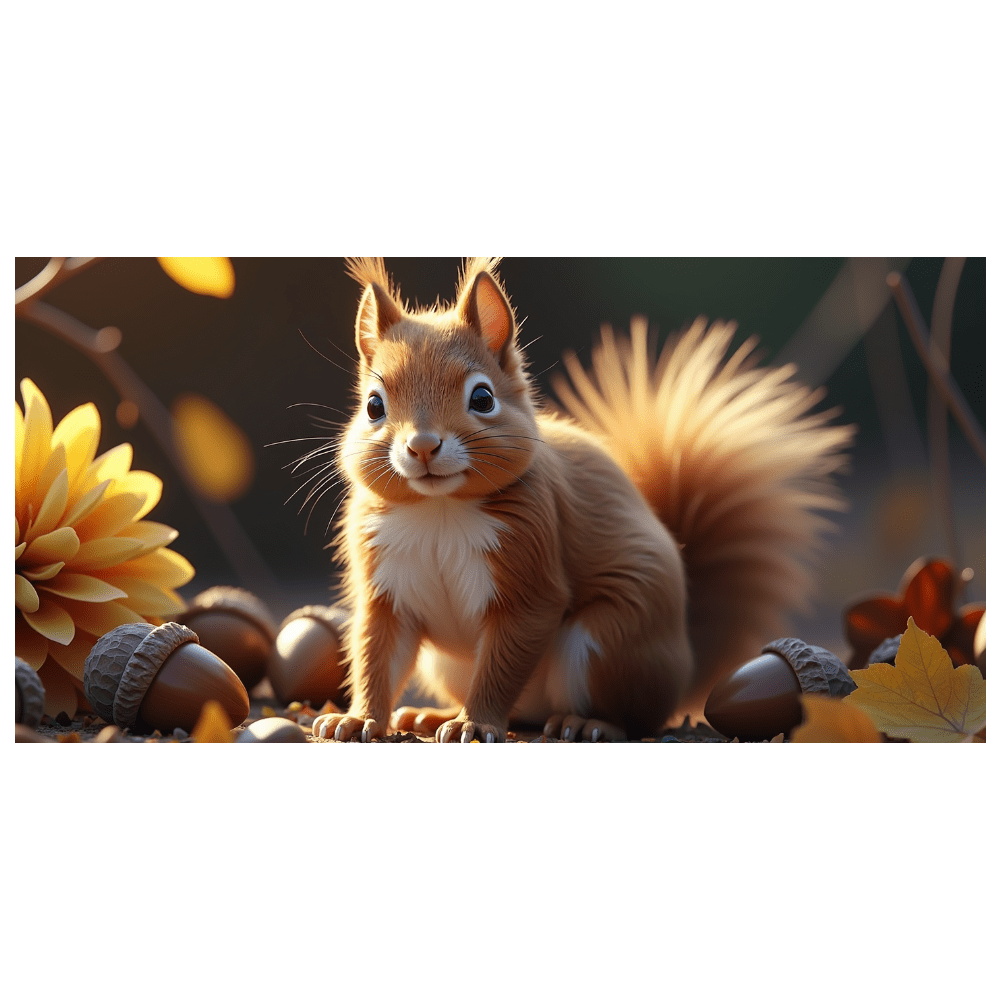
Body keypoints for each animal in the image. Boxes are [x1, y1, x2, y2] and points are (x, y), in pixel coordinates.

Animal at [311, 257, 854, 743]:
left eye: (483, 399)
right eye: (373, 406)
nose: (422, 446)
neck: (439, 509)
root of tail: (683, 663)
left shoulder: (531, 573)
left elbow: (503, 661)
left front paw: (475, 724)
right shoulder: (385, 590)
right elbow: (377, 655)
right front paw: (358, 720)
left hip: (608, 643)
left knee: (634, 718)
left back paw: (587, 723)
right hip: (451, 664)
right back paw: (430, 714)